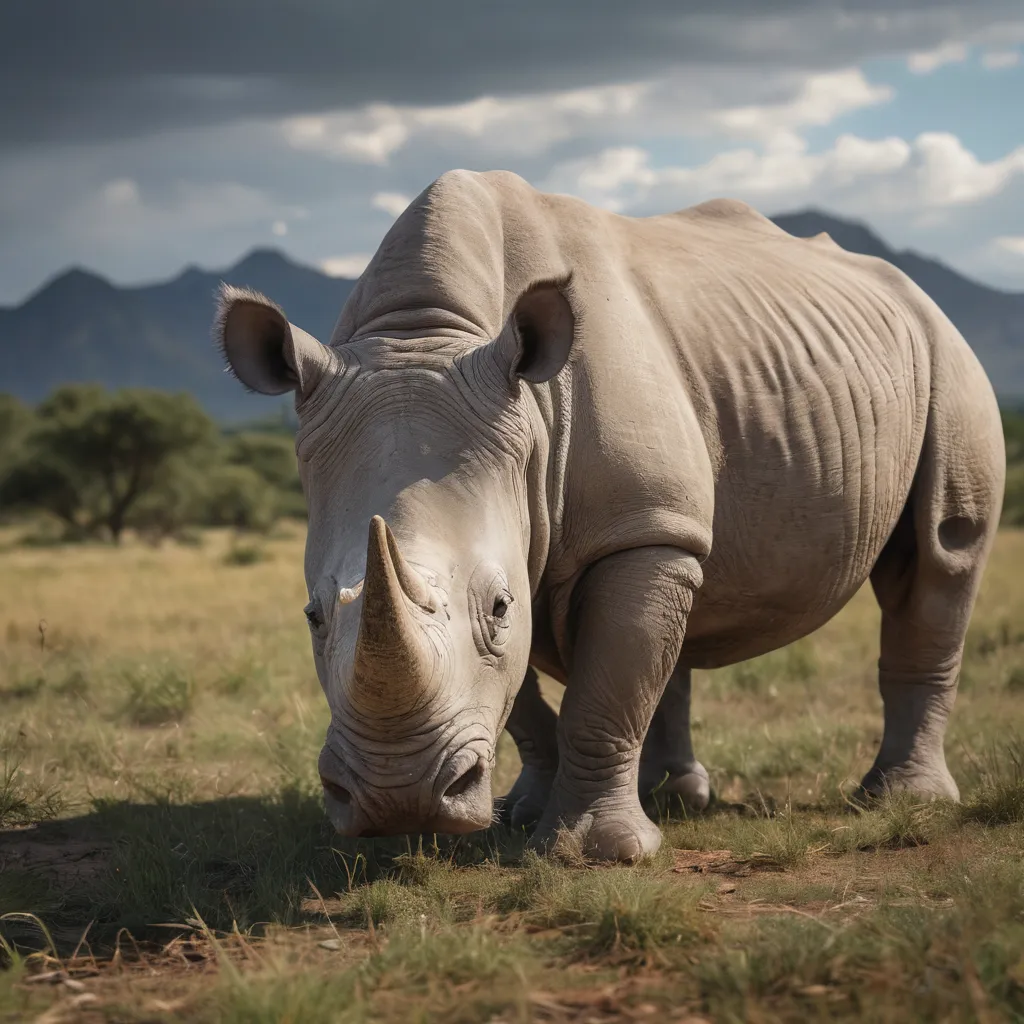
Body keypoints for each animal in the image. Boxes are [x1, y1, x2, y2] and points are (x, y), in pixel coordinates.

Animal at [215, 170, 1004, 862]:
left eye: (497, 606)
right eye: (314, 616)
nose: (394, 803)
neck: (425, 336)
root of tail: (914, 294)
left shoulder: (634, 523)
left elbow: (601, 689)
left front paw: (591, 854)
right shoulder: (556, 522)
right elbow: (538, 695)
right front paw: (518, 813)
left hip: (947, 358)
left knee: (943, 553)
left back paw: (902, 803)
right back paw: (678, 798)